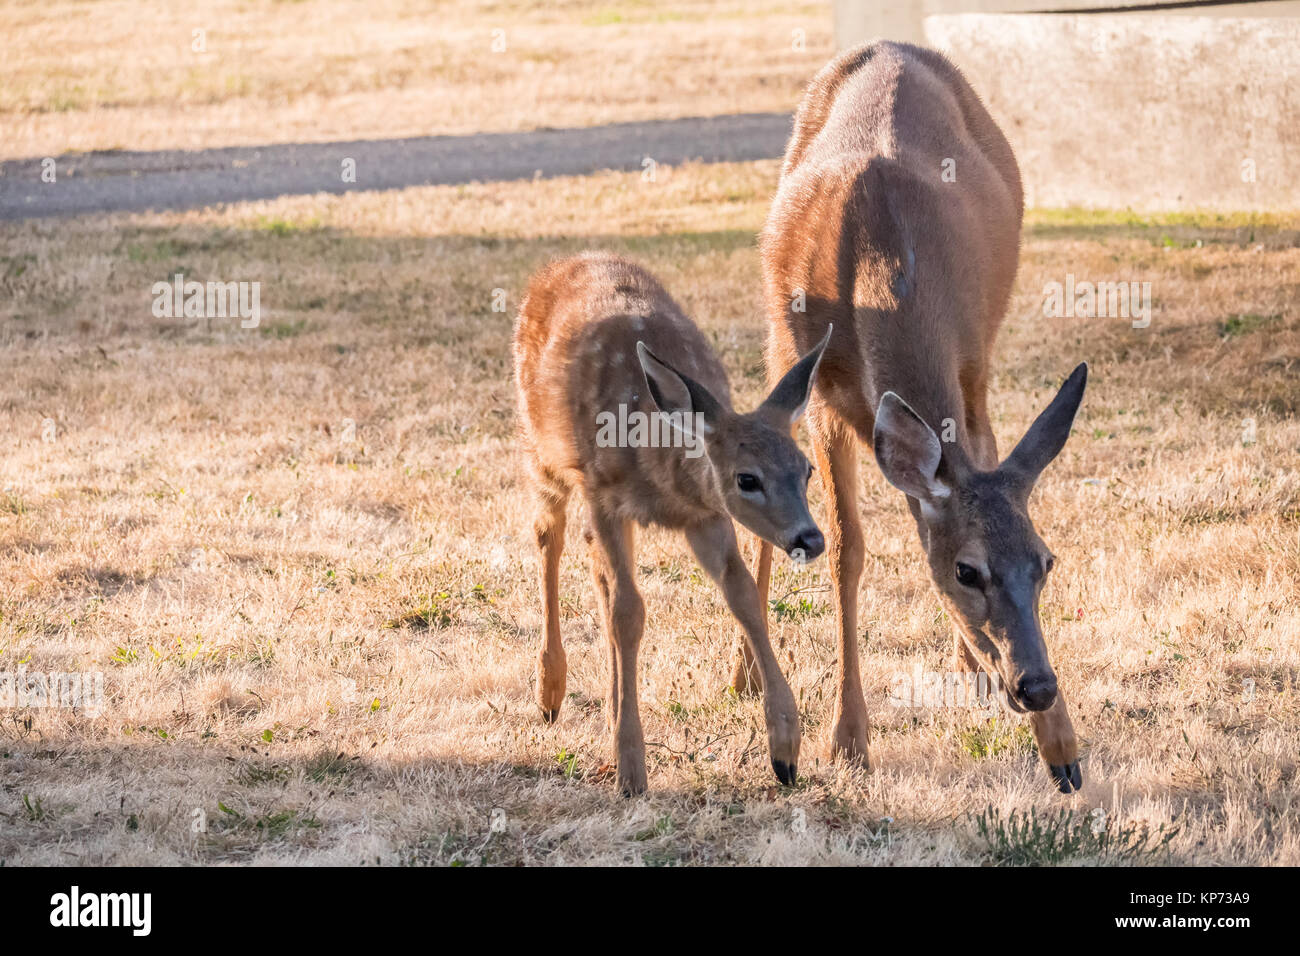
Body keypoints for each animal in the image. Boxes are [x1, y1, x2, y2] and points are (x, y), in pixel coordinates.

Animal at [512, 252, 832, 796]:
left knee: (595, 570)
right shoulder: (603, 493)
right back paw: (550, 693)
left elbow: (744, 595)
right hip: (543, 454)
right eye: (747, 478)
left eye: (806, 469)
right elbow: (628, 612)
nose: (810, 538)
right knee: (548, 541)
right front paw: (630, 768)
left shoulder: (704, 515)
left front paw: (785, 752)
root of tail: (562, 264)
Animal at [747, 41, 1089, 794]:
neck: (879, 272)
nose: (1039, 685)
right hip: (779, 344)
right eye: (967, 571)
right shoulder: (823, 394)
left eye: (1047, 561)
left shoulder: (973, 367)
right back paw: (745, 671)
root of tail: (890, 45)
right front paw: (847, 740)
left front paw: (1061, 749)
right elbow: (845, 549)